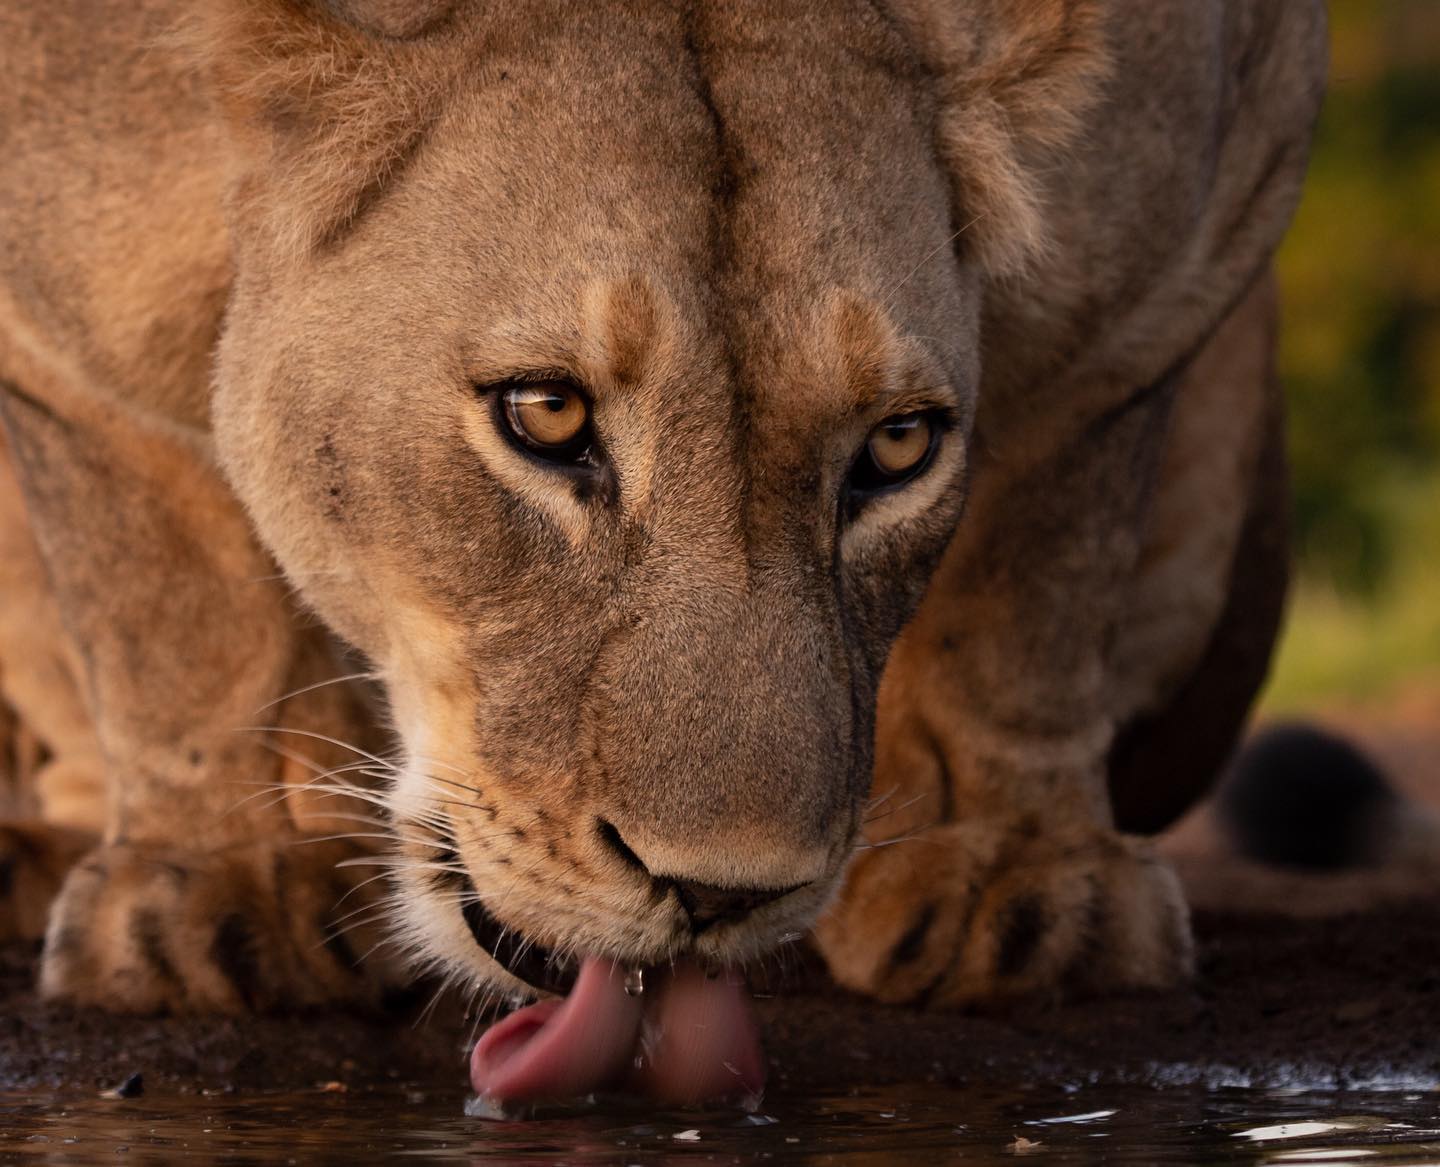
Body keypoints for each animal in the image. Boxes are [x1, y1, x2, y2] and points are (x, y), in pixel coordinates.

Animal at [0, 0, 1324, 1099]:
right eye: (546, 414)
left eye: (897, 446)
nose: (719, 893)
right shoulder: (64, 314)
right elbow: (167, 567)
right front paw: (218, 892)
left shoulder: (1179, 243)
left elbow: (1043, 555)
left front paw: (1017, 879)